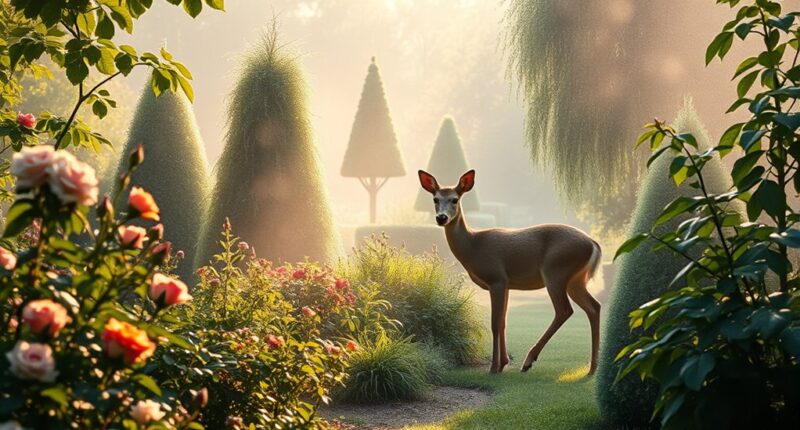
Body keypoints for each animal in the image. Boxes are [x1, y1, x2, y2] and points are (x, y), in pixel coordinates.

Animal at [418, 169, 602, 375]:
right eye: (435, 199)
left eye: (454, 199)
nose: (441, 217)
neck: (473, 246)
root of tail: (592, 243)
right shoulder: (506, 283)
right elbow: (504, 322)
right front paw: (503, 362)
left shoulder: (496, 278)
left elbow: (495, 323)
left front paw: (493, 367)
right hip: (576, 279)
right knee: (594, 307)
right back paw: (592, 368)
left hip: (555, 272)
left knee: (564, 310)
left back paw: (529, 361)